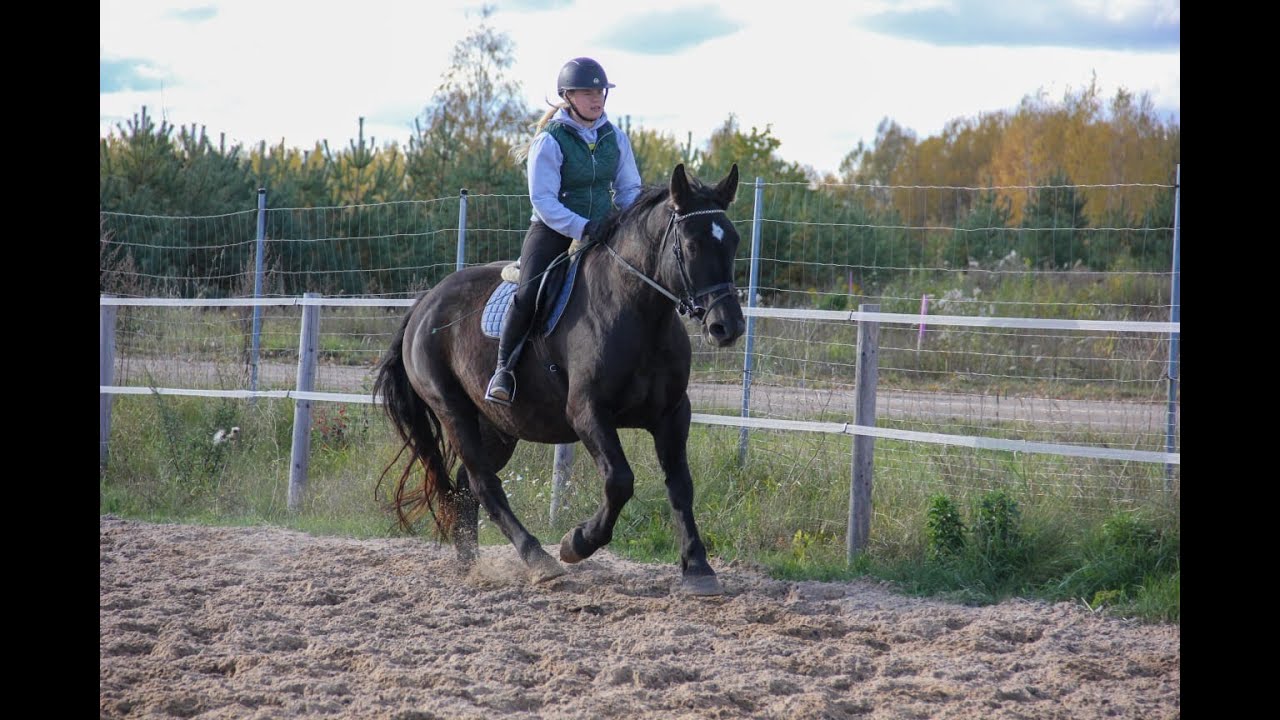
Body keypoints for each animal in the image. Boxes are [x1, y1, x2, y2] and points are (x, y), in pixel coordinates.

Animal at [374, 163, 745, 595]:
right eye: (690, 244)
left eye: (732, 240)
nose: (727, 326)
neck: (637, 313)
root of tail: (425, 303)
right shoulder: (587, 413)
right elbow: (620, 481)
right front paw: (576, 542)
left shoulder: (672, 414)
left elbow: (681, 486)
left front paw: (698, 567)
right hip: (454, 412)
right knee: (484, 484)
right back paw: (538, 559)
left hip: (498, 427)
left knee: (468, 483)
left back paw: (471, 563)